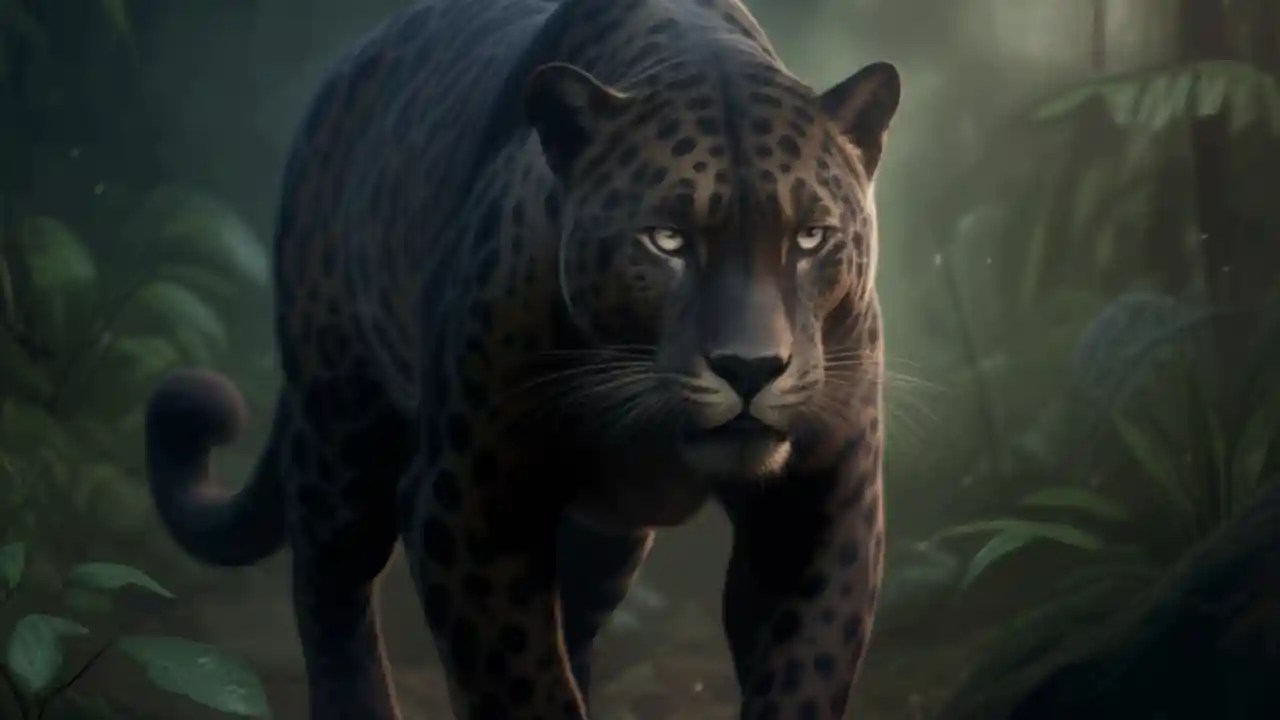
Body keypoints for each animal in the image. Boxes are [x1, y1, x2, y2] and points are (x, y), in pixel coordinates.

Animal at [142, 0, 900, 718]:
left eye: (810, 237)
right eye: (667, 239)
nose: (750, 368)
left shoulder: (819, 504)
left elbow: (804, 673)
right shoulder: (468, 502)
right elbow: (522, 682)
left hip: (602, 537)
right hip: (340, 424)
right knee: (331, 587)